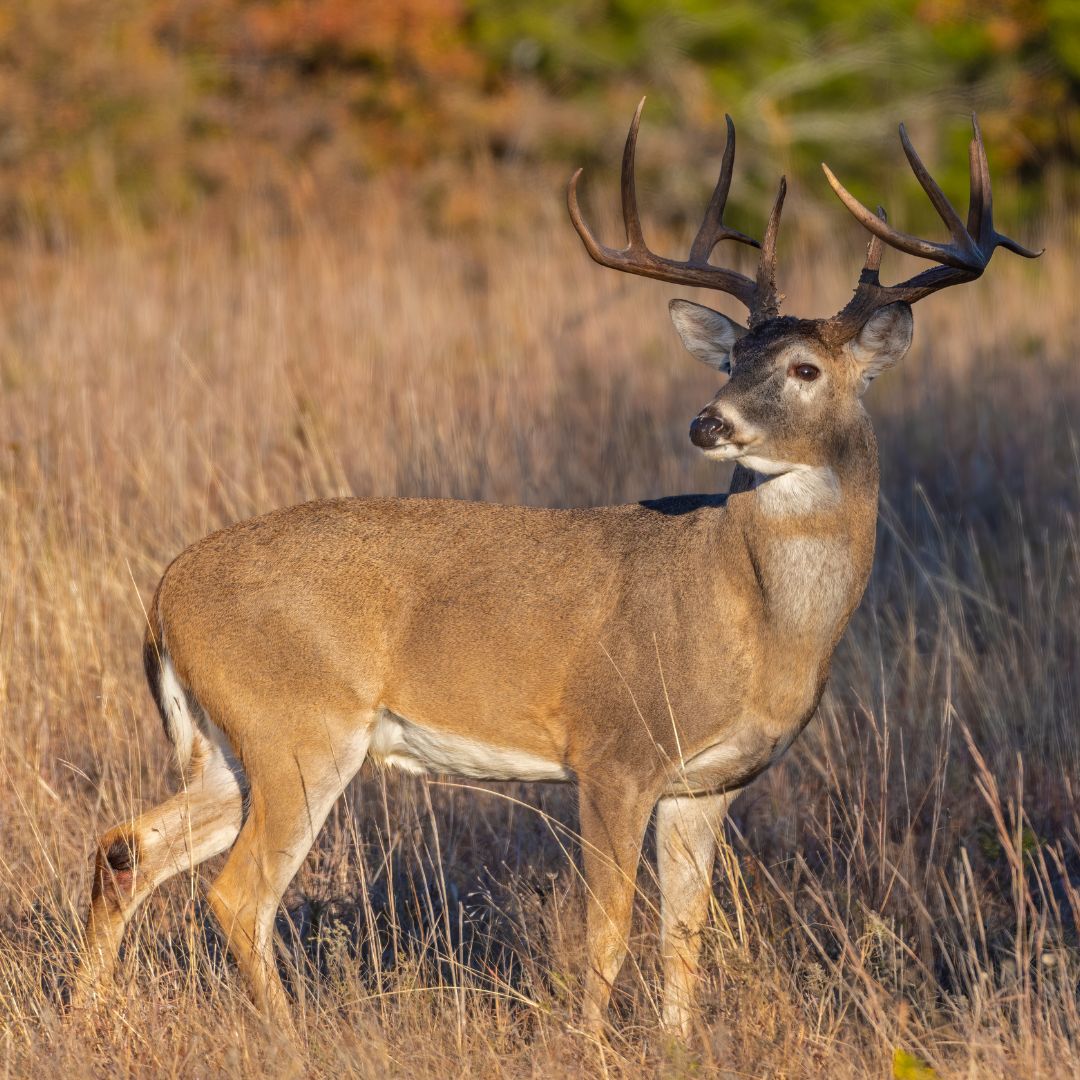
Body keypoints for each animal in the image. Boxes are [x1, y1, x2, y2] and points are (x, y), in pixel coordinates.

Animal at [71, 101, 1039, 1037]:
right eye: (733, 359)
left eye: (803, 368)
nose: (709, 422)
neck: (753, 617)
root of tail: (164, 594)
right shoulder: (615, 750)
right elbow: (607, 931)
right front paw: (593, 1047)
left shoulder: (707, 784)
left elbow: (682, 932)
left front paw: (676, 1048)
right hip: (298, 726)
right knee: (237, 895)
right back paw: (291, 1039)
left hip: (228, 744)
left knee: (126, 846)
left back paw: (93, 1018)